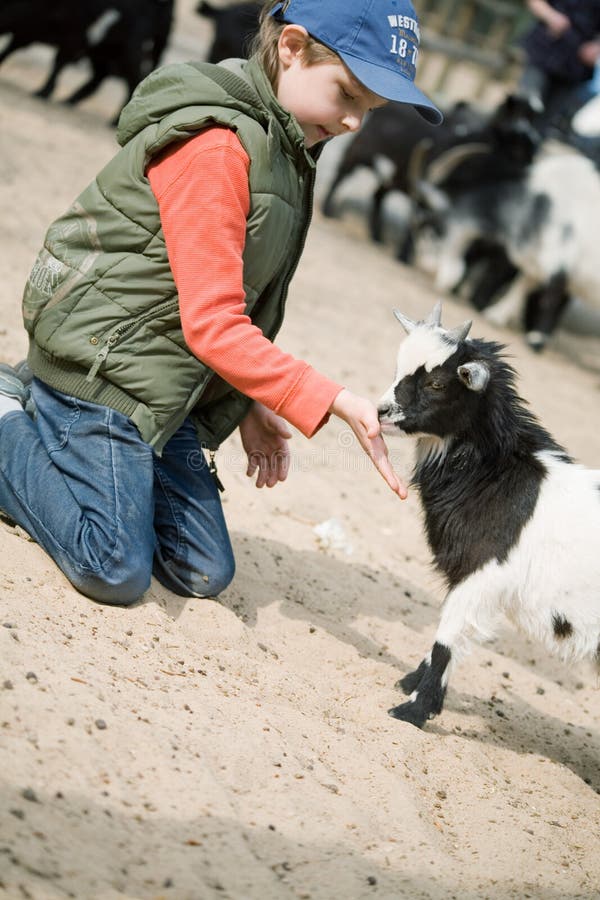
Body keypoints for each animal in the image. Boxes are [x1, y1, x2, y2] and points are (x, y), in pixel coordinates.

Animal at [377, 303, 600, 729]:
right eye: (399, 366)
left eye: (437, 383)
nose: (381, 411)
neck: (498, 475)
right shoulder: (466, 572)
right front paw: (410, 683)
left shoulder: (486, 570)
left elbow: (447, 640)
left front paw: (414, 709)